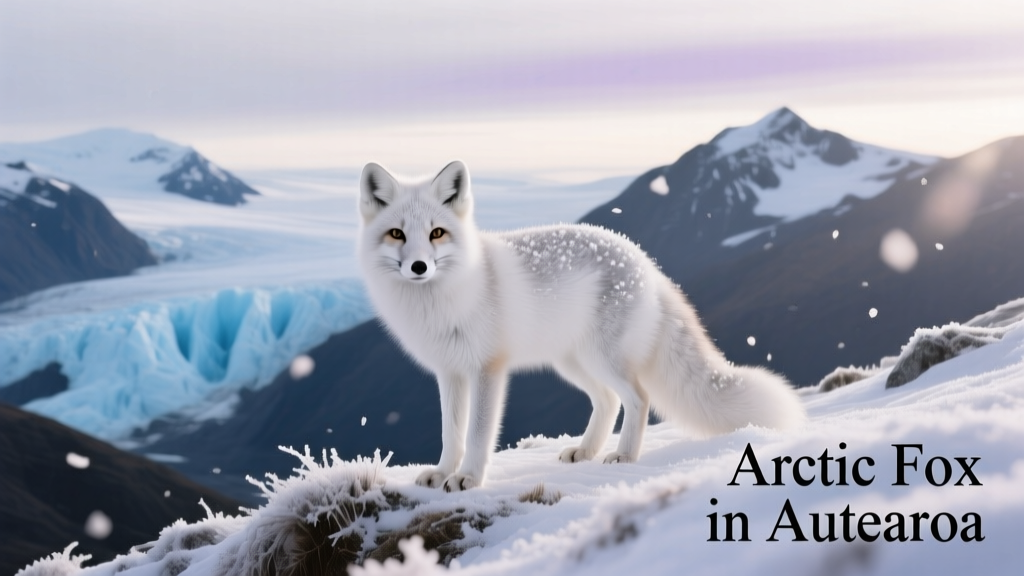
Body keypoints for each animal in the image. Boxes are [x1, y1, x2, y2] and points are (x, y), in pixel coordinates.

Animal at [357, 160, 805, 491]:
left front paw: (468, 477)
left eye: (437, 233)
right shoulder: (450, 372)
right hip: (573, 363)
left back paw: (625, 456)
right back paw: (585, 452)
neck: (442, 301)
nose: (419, 266)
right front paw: (443, 472)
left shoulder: (487, 369)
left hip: (602, 360)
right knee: (607, 401)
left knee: (637, 398)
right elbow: (451, 432)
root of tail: (647, 263)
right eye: (396, 234)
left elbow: (479, 433)